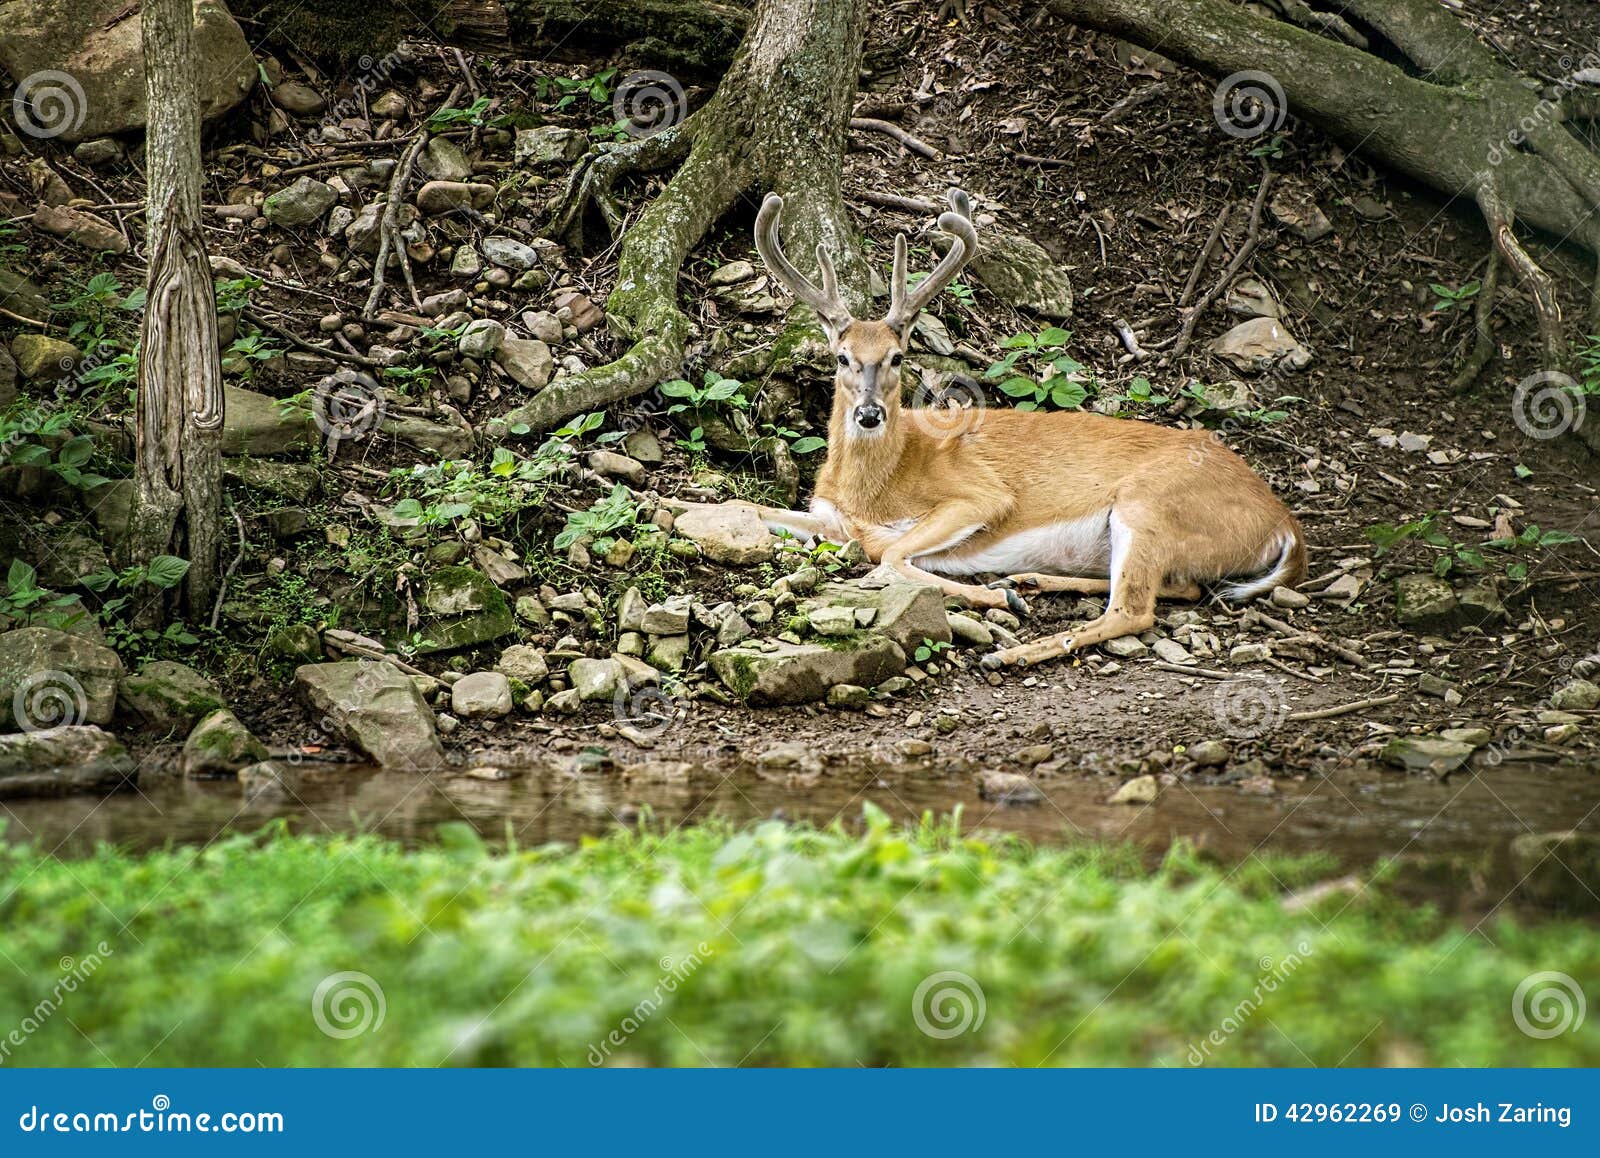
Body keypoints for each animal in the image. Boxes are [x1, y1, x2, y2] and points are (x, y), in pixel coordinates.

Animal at [730, 187, 1306, 669]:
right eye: (841, 357)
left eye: (897, 357)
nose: (869, 414)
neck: (872, 490)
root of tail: (1284, 524)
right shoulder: (830, 516)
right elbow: (750, 507)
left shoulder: (979, 493)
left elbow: (888, 553)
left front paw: (991, 597)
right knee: (1180, 590)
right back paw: (1028, 579)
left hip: (1152, 504)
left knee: (1133, 610)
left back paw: (1011, 648)